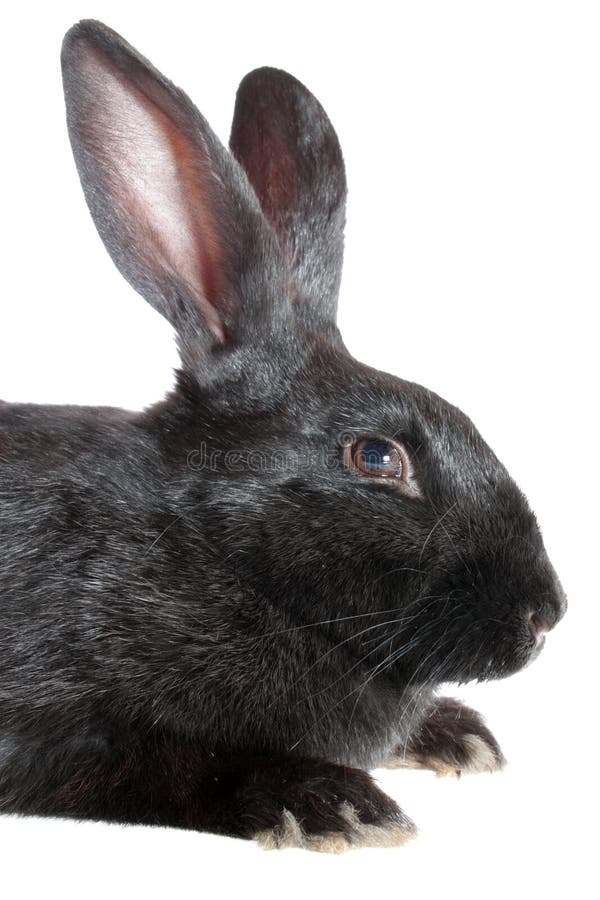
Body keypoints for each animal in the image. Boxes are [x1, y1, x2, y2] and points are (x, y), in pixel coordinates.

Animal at [0, 19, 566, 853]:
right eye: (376, 456)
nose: (546, 615)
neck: (208, 547)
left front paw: (460, 738)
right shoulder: (56, 728)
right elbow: (174, 762)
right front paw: (336, 803)